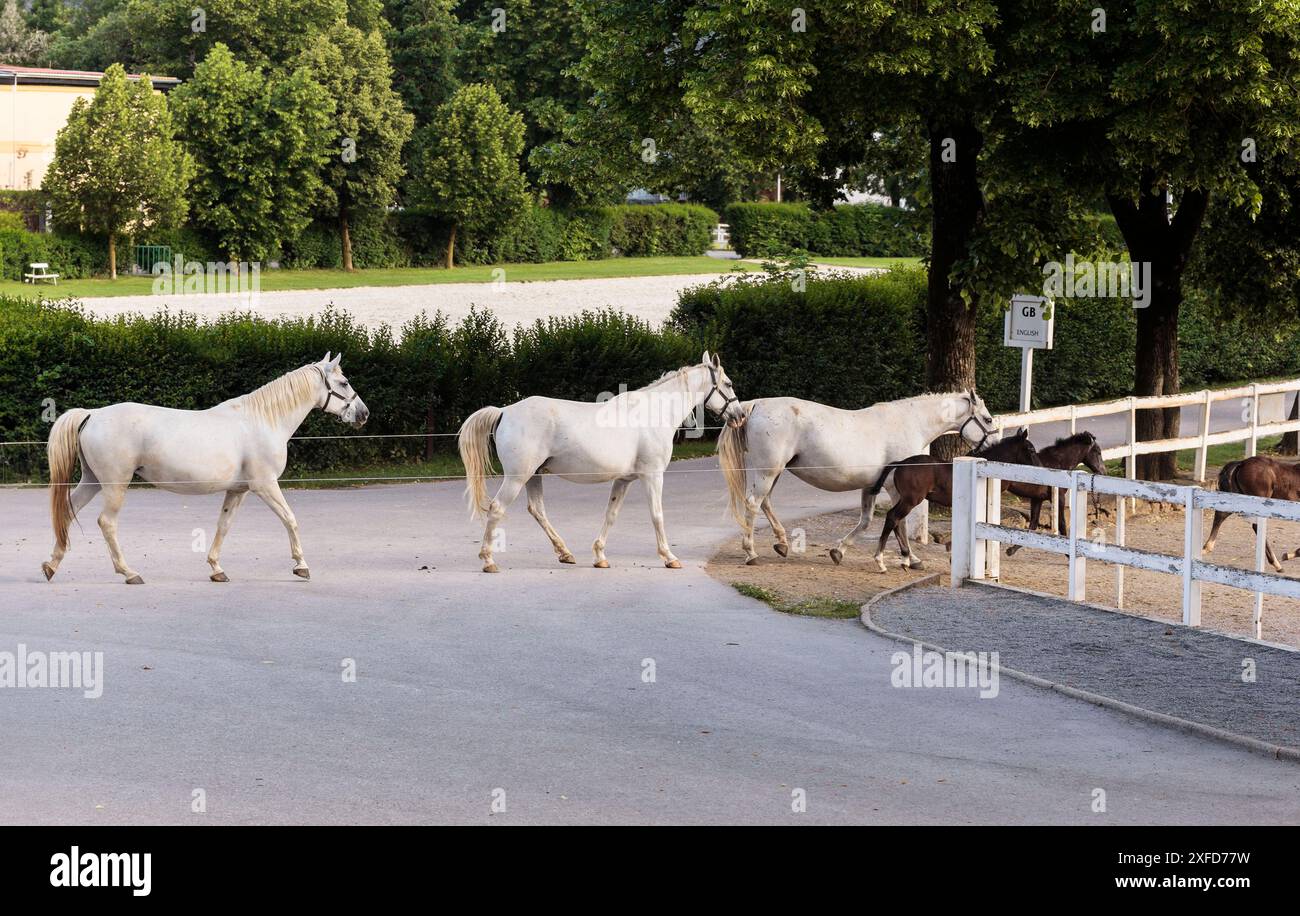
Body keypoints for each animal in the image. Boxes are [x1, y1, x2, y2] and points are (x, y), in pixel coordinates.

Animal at [42, 353, 369, 585]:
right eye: (343, 383)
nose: (364, 413)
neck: (262, 421)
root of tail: (92, 415)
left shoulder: (238, 491)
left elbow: (223, 526)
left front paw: (216, 569)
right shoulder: (265, 485)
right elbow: (290, 519)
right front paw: (301, 565)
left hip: (93, 481)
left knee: (67, 511)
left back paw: (51, 565)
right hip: (115, 485)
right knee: (107, 523)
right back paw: (129, 572)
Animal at [458, 351, 746, 573]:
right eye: (729, 383)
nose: (739, 415)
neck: (653, 414)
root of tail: (504, 412)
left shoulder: (624, 480)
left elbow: (611, 514)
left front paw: (600, 556)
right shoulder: (653, 476)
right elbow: (657, 515)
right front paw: (669, 557)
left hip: (533, 476)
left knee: (537, 510)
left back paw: (565, 553)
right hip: (517, 477)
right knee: (496, 509)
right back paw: (488, 561)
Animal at [717, 389, 999, 566]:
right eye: (987, 419)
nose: (995, 444)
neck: (909, 423)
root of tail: (755, 405)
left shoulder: (871, 487)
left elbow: (866, 521)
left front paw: (838, 551)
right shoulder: (898, 490)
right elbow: (898, 522)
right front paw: (911, 559)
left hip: (772, 473)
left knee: (764, 503)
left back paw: (782, 544)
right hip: (767, 472)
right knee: (753, 504)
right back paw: (751, 553)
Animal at [868, 428, 1041, 572]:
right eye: (1031, 449)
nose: (1039, 467)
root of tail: (901, 463)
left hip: (905, 499)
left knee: (896, 521)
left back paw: (904, 560)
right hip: (911, 500)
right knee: (893, 517)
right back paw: (881, 561)